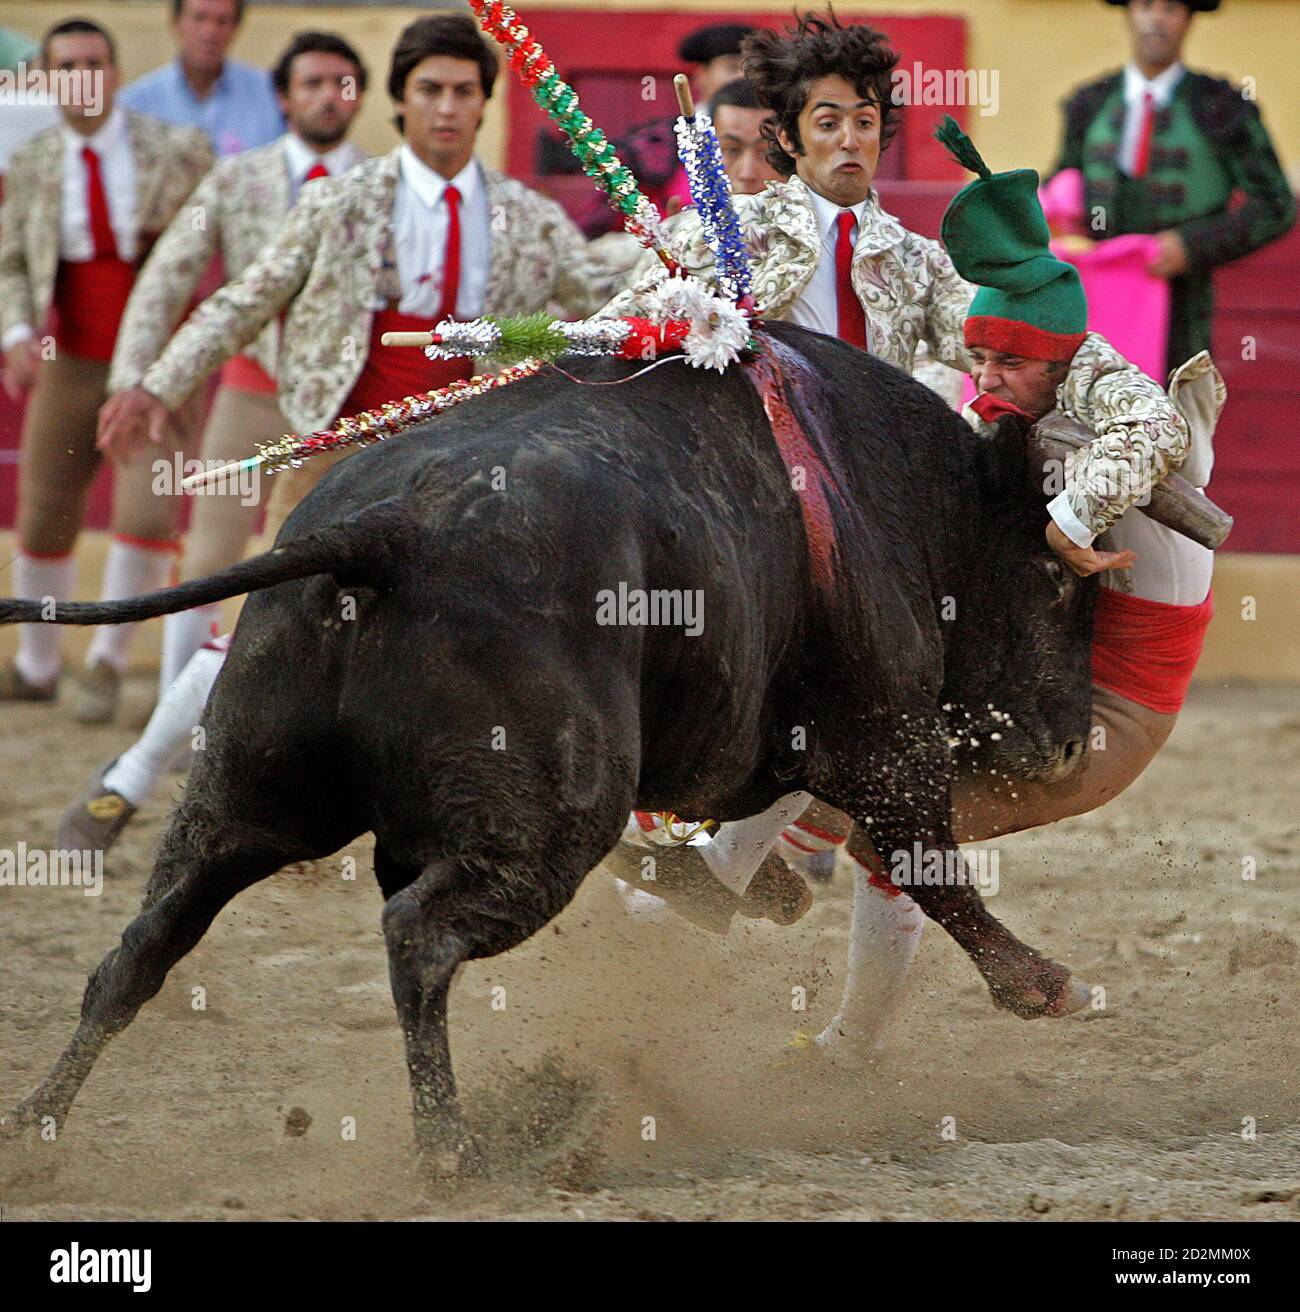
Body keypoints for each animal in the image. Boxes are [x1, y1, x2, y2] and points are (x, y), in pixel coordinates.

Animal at [0, 322, 1096, 1177]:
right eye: (1054, 578)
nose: (1072, 742)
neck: (879, 490)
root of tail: (383, 533)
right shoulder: (883, 734)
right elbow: (928, 864)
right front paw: (1045, 985)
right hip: (552, 827)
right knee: (418, 935)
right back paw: (453, 1151)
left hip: (241, 795)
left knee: (143, 948)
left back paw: (38, 1128)